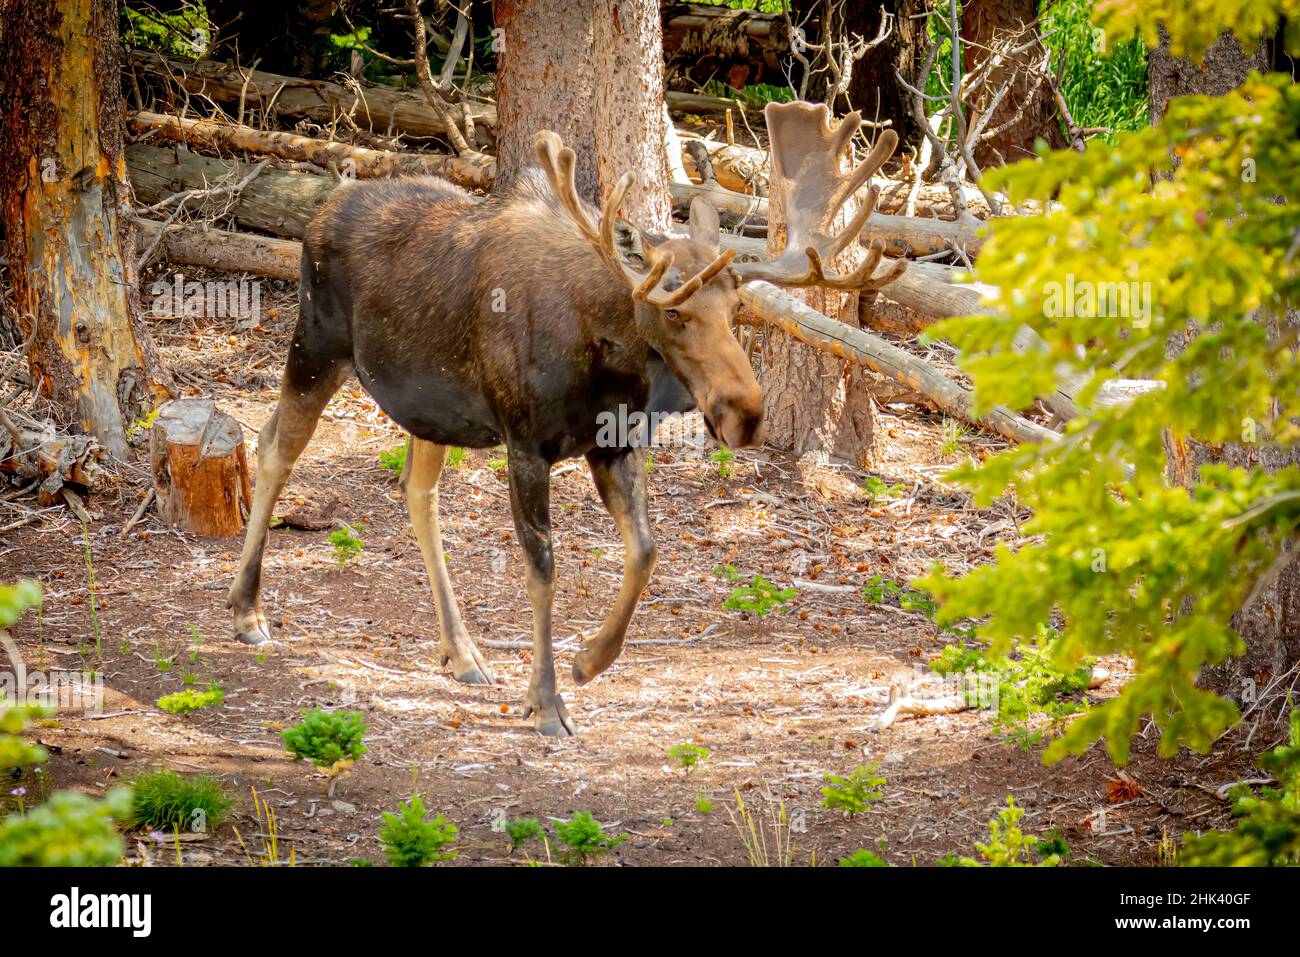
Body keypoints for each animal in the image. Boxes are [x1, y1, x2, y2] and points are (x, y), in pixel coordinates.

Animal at [227, 101, 906, 736]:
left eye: (736, 306)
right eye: (675, 312)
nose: (745, 414)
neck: (604, 356)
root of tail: (323, 207)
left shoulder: (612, 445)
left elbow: (645, 552)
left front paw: (589, 661)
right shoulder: (525, 443)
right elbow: (542, 569)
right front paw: (546, 701)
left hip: (428, 407)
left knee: (417, 490)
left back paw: (462, 652)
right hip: (316, 343)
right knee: (274, 447)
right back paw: (246, 611)